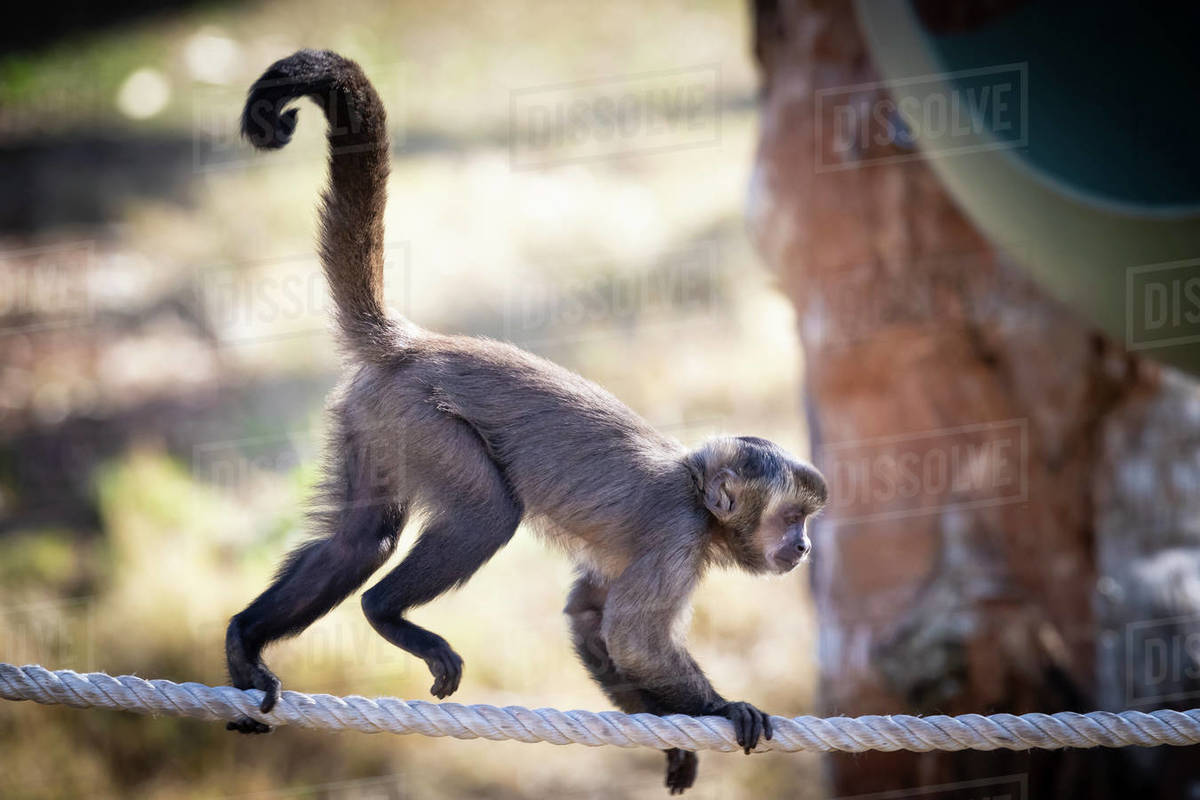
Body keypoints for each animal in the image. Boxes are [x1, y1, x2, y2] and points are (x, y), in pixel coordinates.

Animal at [224, 50, 827, 795]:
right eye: (790, 518)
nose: (804, 547)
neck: (695, 490)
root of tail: (414, 343)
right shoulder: (678, 539)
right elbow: (633, 640)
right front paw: (726, 709)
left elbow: (590, 621)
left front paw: (673, 743)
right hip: (422, 415)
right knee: (487, 512)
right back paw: (384, 612)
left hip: (374, 414)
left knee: (360, 541)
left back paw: (245, 639)